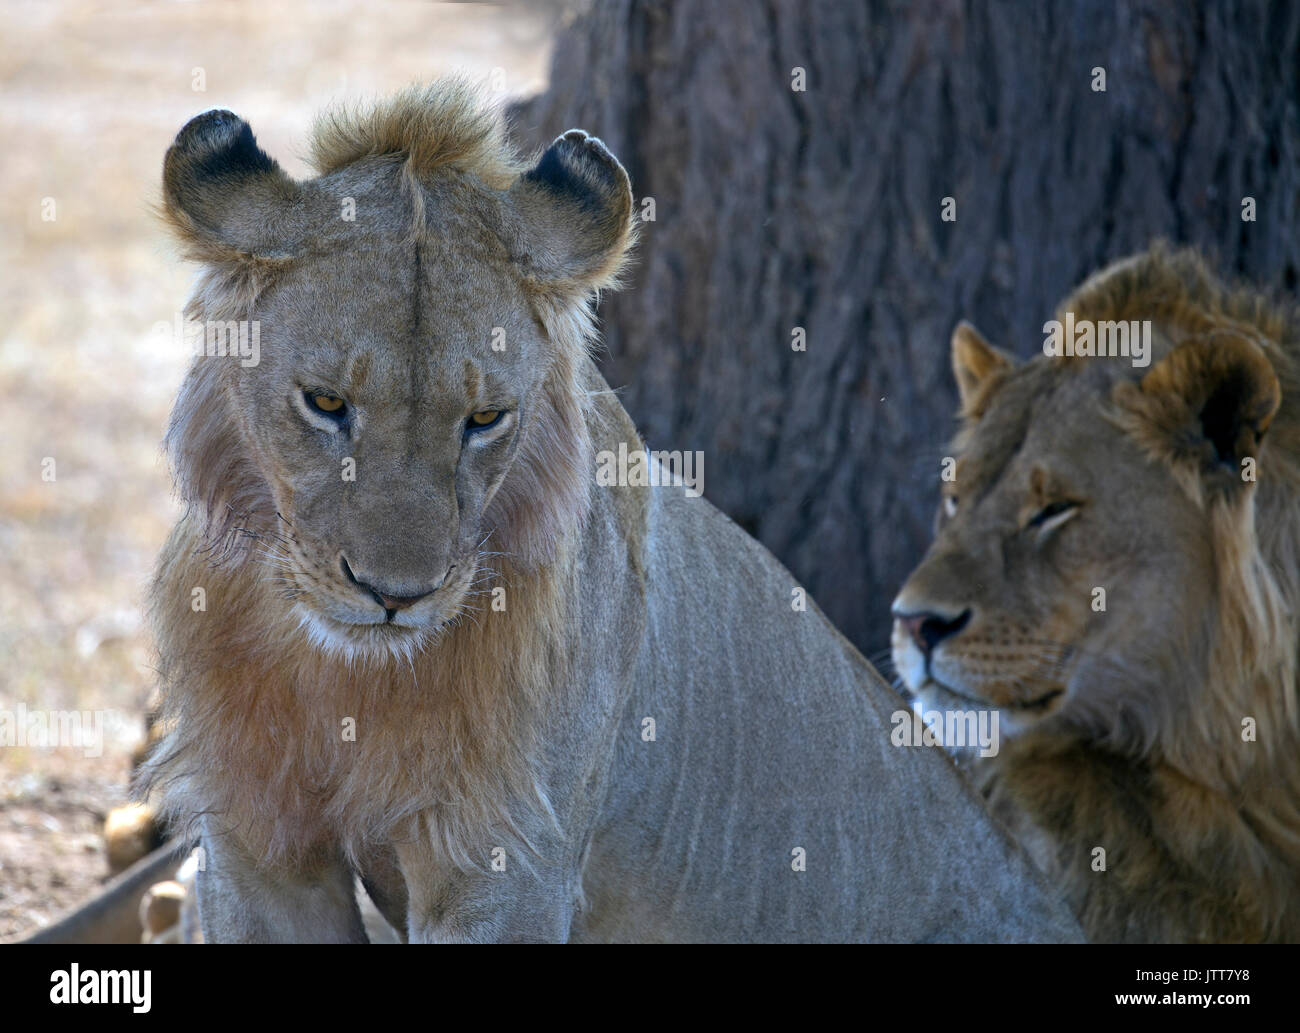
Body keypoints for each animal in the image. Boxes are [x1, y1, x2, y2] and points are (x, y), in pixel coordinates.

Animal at [138, 80, 1081, 943]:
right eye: (327, 403)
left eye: (485, 419)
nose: (395, 595)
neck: (337, 673)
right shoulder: (257, 848)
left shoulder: (506, 864)